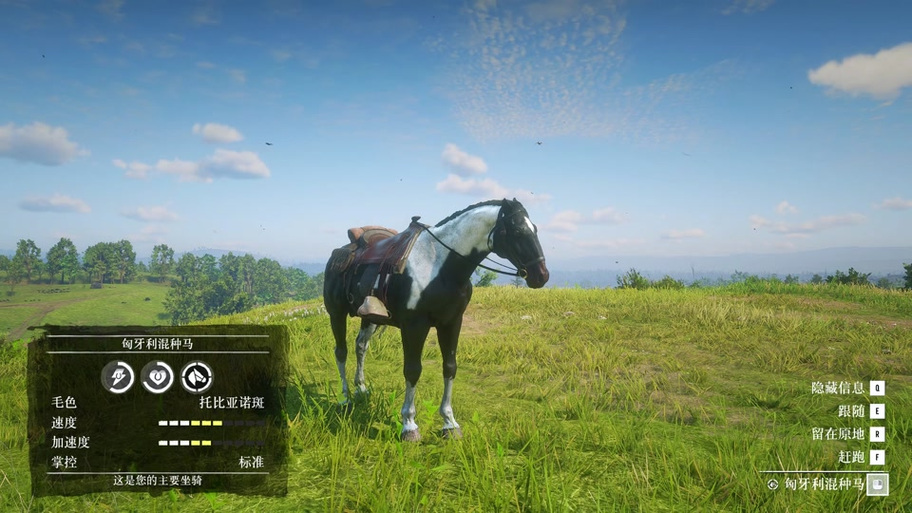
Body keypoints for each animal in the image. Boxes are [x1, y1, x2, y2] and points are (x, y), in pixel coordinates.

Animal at [323, 198, 549, 441]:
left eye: (535, 229)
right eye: (517, 231)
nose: (542, 275)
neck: (440, 267)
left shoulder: (452, 323)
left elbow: (449, 367)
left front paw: (449, 423)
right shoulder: (414, 326)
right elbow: (412, 370)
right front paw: (409, 425)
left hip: (371, 318)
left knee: (361, 346)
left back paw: (361, 389)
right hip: (336, 313)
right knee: (341, 352)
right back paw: (345, 398)